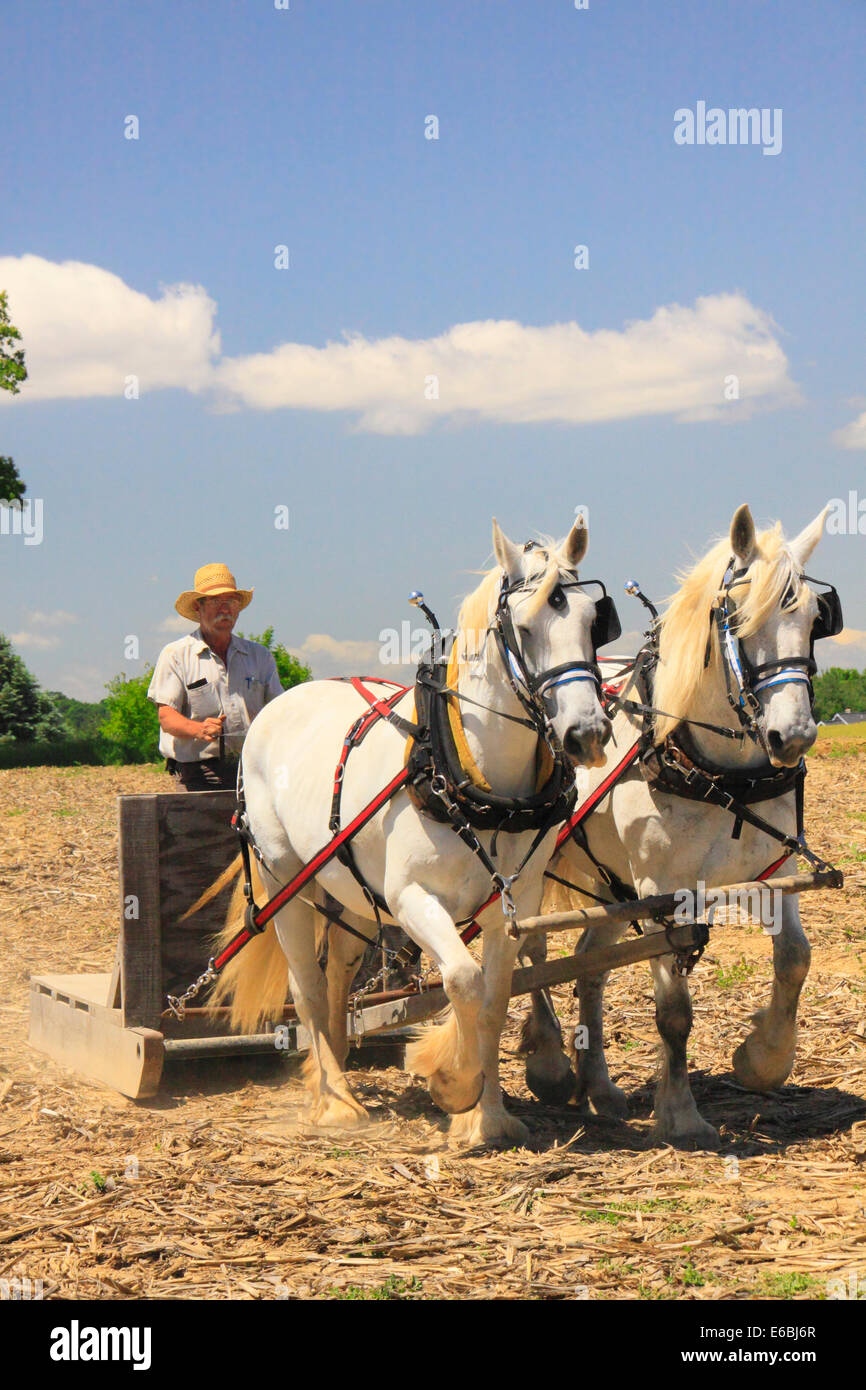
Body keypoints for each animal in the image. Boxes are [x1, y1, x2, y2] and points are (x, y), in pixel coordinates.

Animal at [209, 517, 615, 1145]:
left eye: (594, 622)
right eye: (523, 628)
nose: (586, 734)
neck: (471, 777)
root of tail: (275, 708)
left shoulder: (512, 904)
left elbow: (494, 998)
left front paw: (490, 1117)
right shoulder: (411, 899)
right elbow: (463, 981)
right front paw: (454, 1084)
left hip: (352, 891)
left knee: (336, 974)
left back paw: (339, 1066)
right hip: (286, 883)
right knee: (304, 984)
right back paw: (335, 1102)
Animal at [519, 504, 837, 1149]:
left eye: (815, 619)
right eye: (739, 619)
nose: (792, 737)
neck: (716, 770)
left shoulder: (778, 870)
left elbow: (795, 958)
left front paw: (762, 1060)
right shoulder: (663, 889)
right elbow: (674, 1011)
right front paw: (682, 1114)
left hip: (612, 884)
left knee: (589, 965)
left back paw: (600, 1088)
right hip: (547, 872)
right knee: (535, 950)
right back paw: (552, 1068)